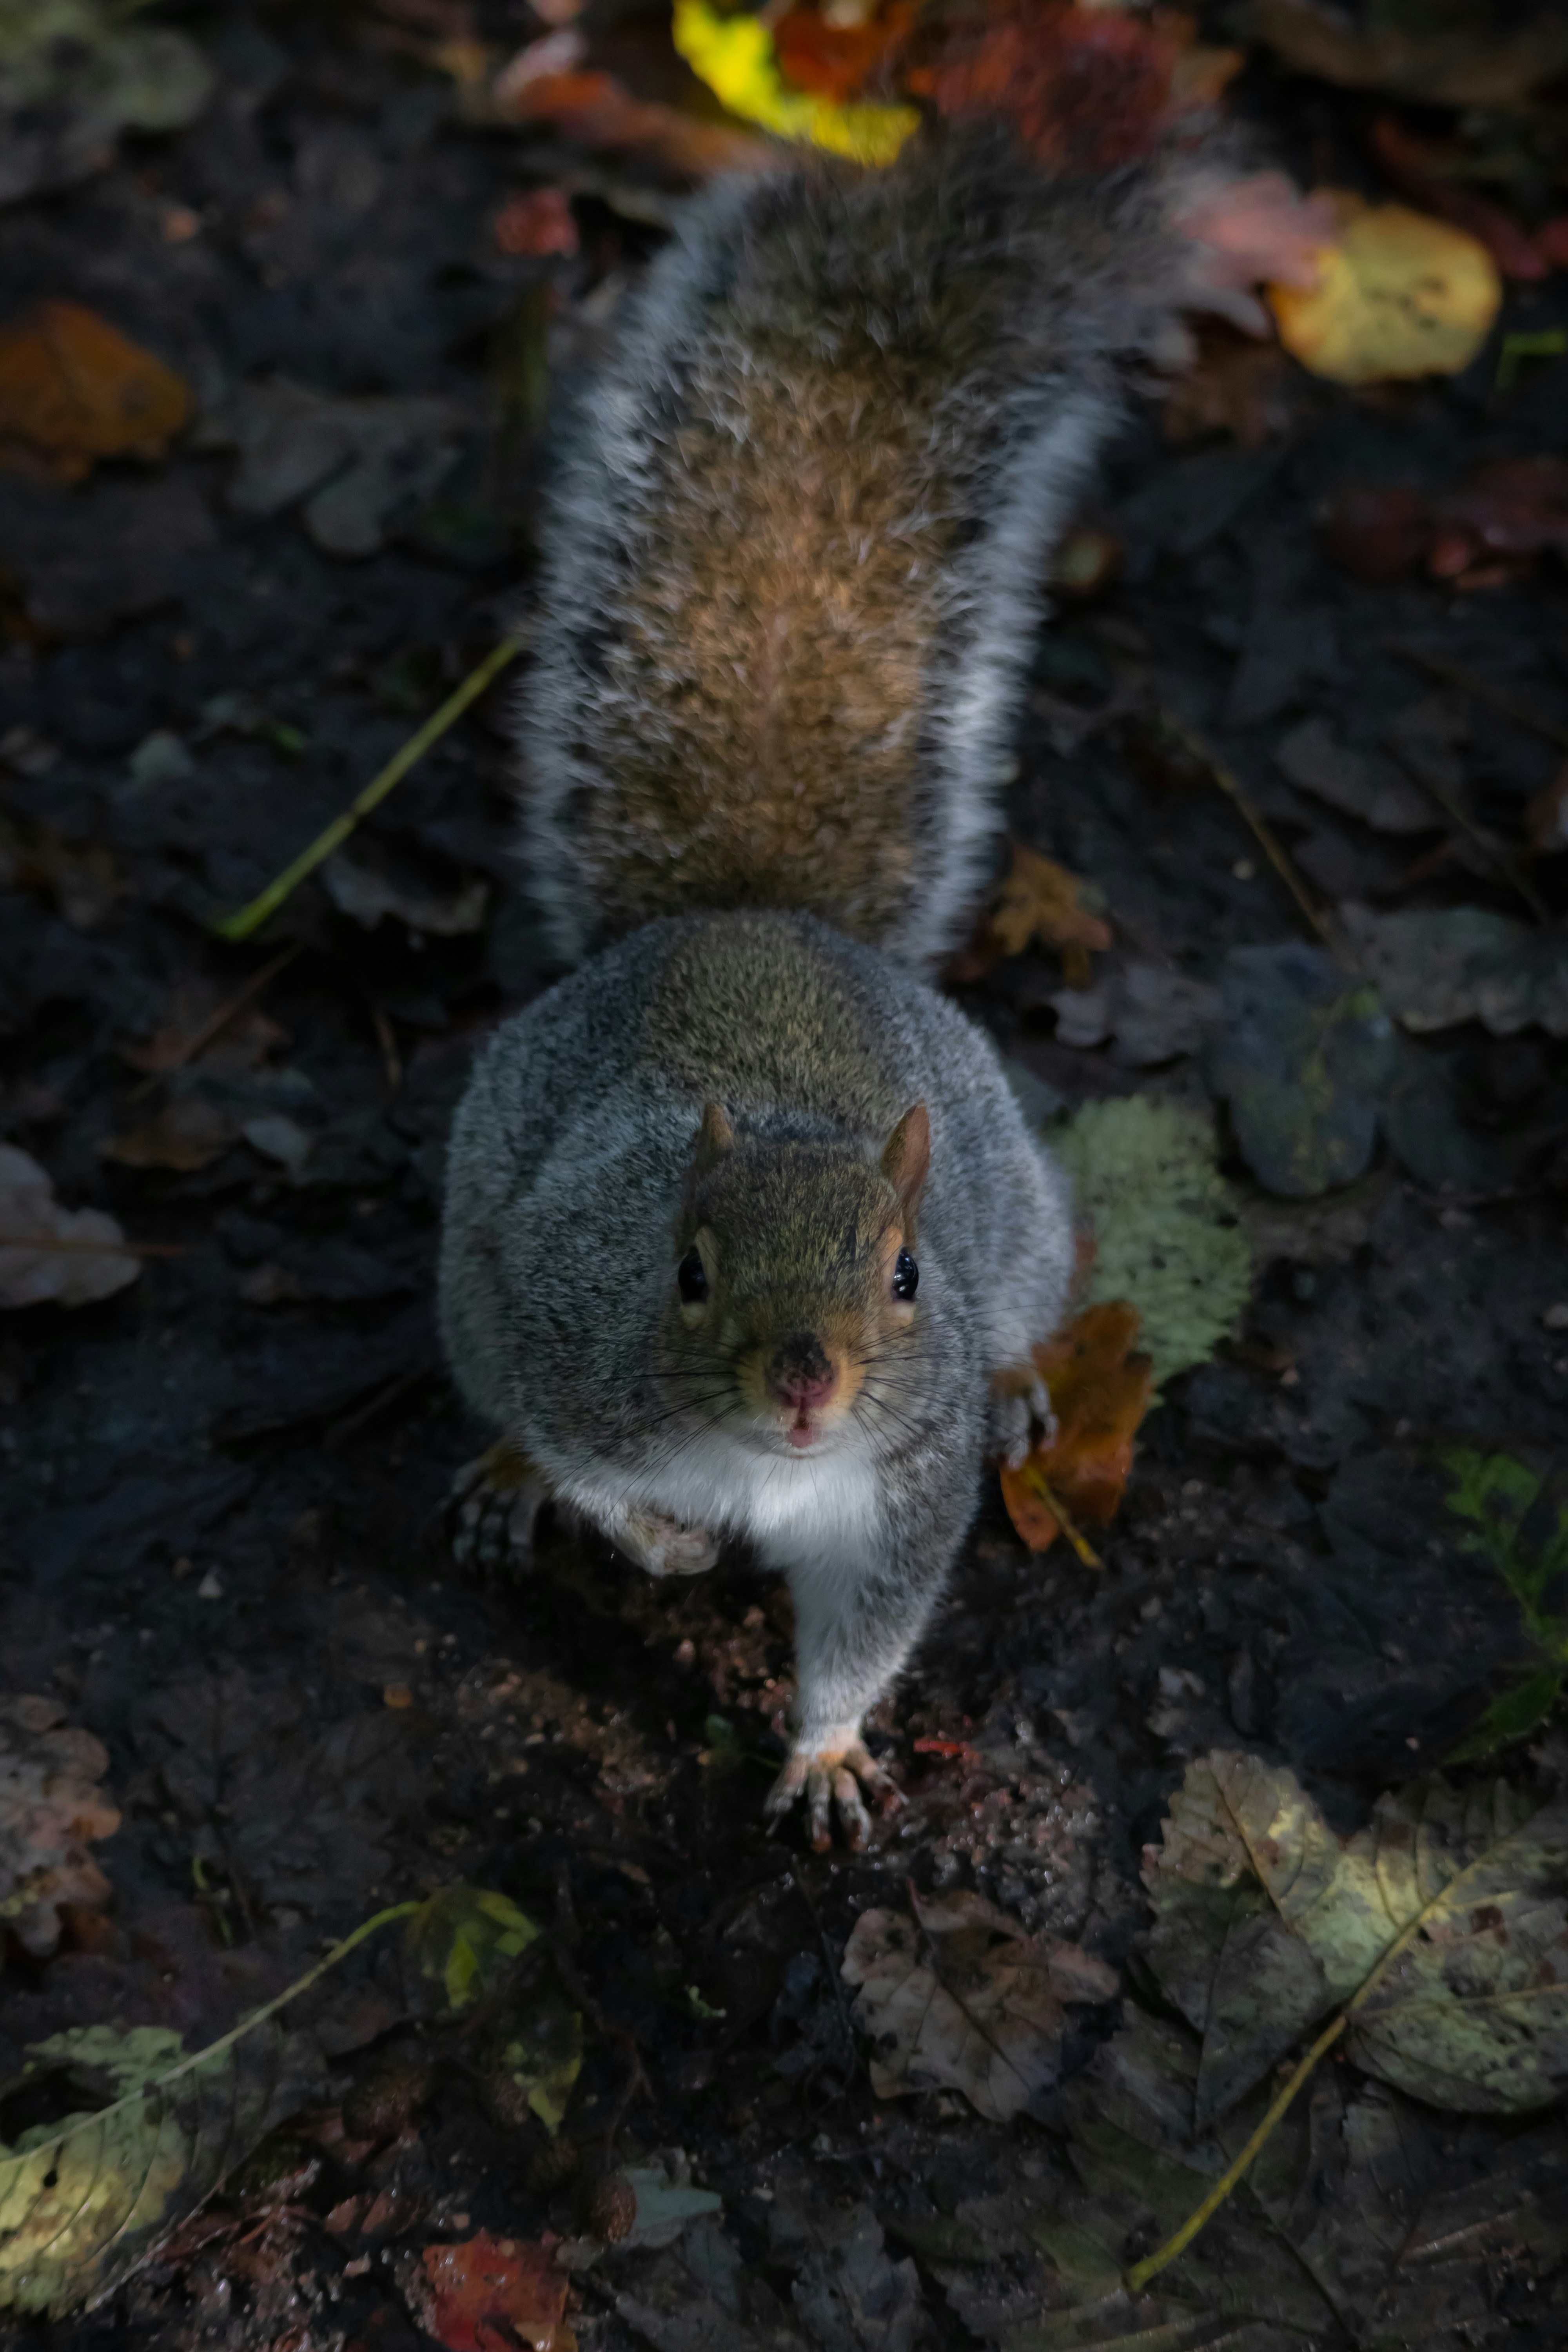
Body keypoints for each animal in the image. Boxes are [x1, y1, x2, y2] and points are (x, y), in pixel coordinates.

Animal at [440, 117, 1271, 1846]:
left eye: (901, 1275)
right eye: (685, 1269)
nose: (810, 1385)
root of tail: (747, 915)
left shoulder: (898, 1493)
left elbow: (866, 1633)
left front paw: (823, 1754)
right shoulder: (569, 1339)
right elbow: (598, 1473)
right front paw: (662, 1544)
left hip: (1019, 1214)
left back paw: (1021, 1385)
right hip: (471, 1274)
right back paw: (503, 1484)